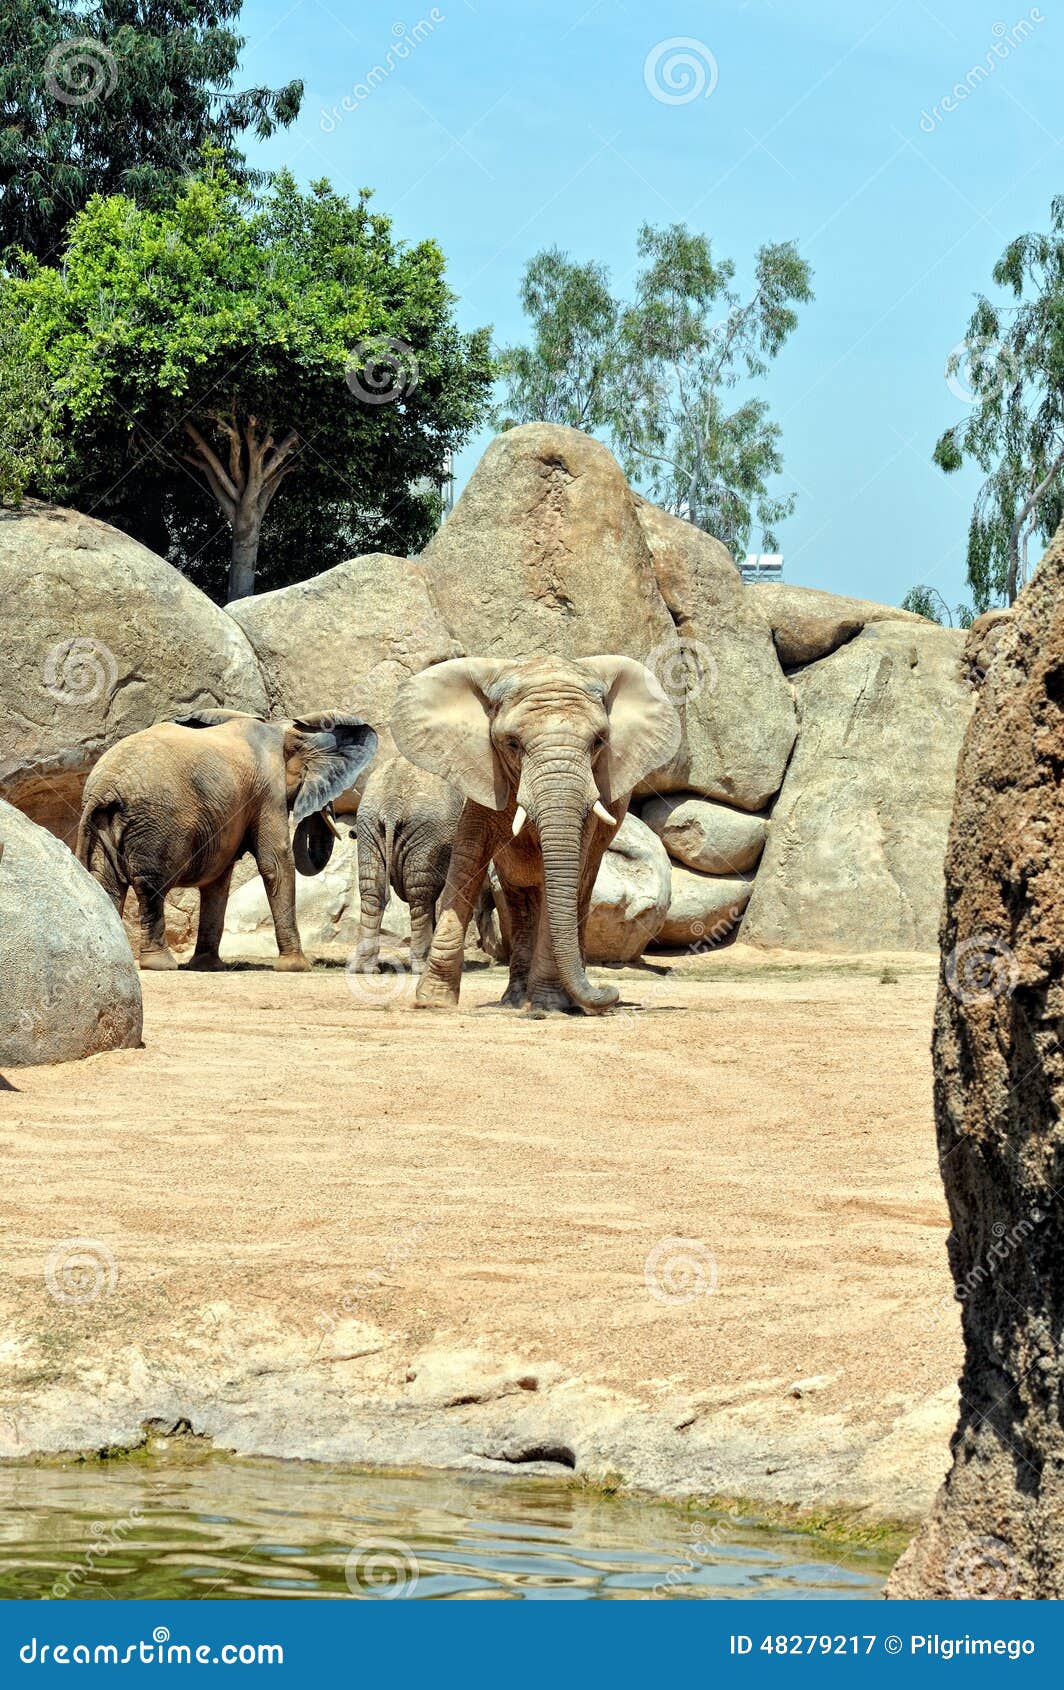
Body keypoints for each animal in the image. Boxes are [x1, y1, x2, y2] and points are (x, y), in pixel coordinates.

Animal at [76, 709, 378, 972]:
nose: (347, 831)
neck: (282, 729)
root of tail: (103, 787)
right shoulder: (268, 790)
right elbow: (275, 863)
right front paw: (297, 967)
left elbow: (219, 879)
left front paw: (207, 966)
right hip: (155, 822)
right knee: (150, 886)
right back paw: (160, 964)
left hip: (104, 823)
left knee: (106, 884)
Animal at [352, 755, 496, 974]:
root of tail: (391, 806)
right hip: (428, 832)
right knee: (420, 895)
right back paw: (420, 967)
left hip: (369, 826)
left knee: (373, 891)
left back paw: (365, 969)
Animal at [390, 654, 681, 1014]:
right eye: (512, 744)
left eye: (599, 742)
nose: (610, 992)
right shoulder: (485, 780)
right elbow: (467, 860)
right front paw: (432, 1003)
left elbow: (567, 872)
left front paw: (548, 1005)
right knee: (520, 899)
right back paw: (515, 1000)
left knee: (578, 890)